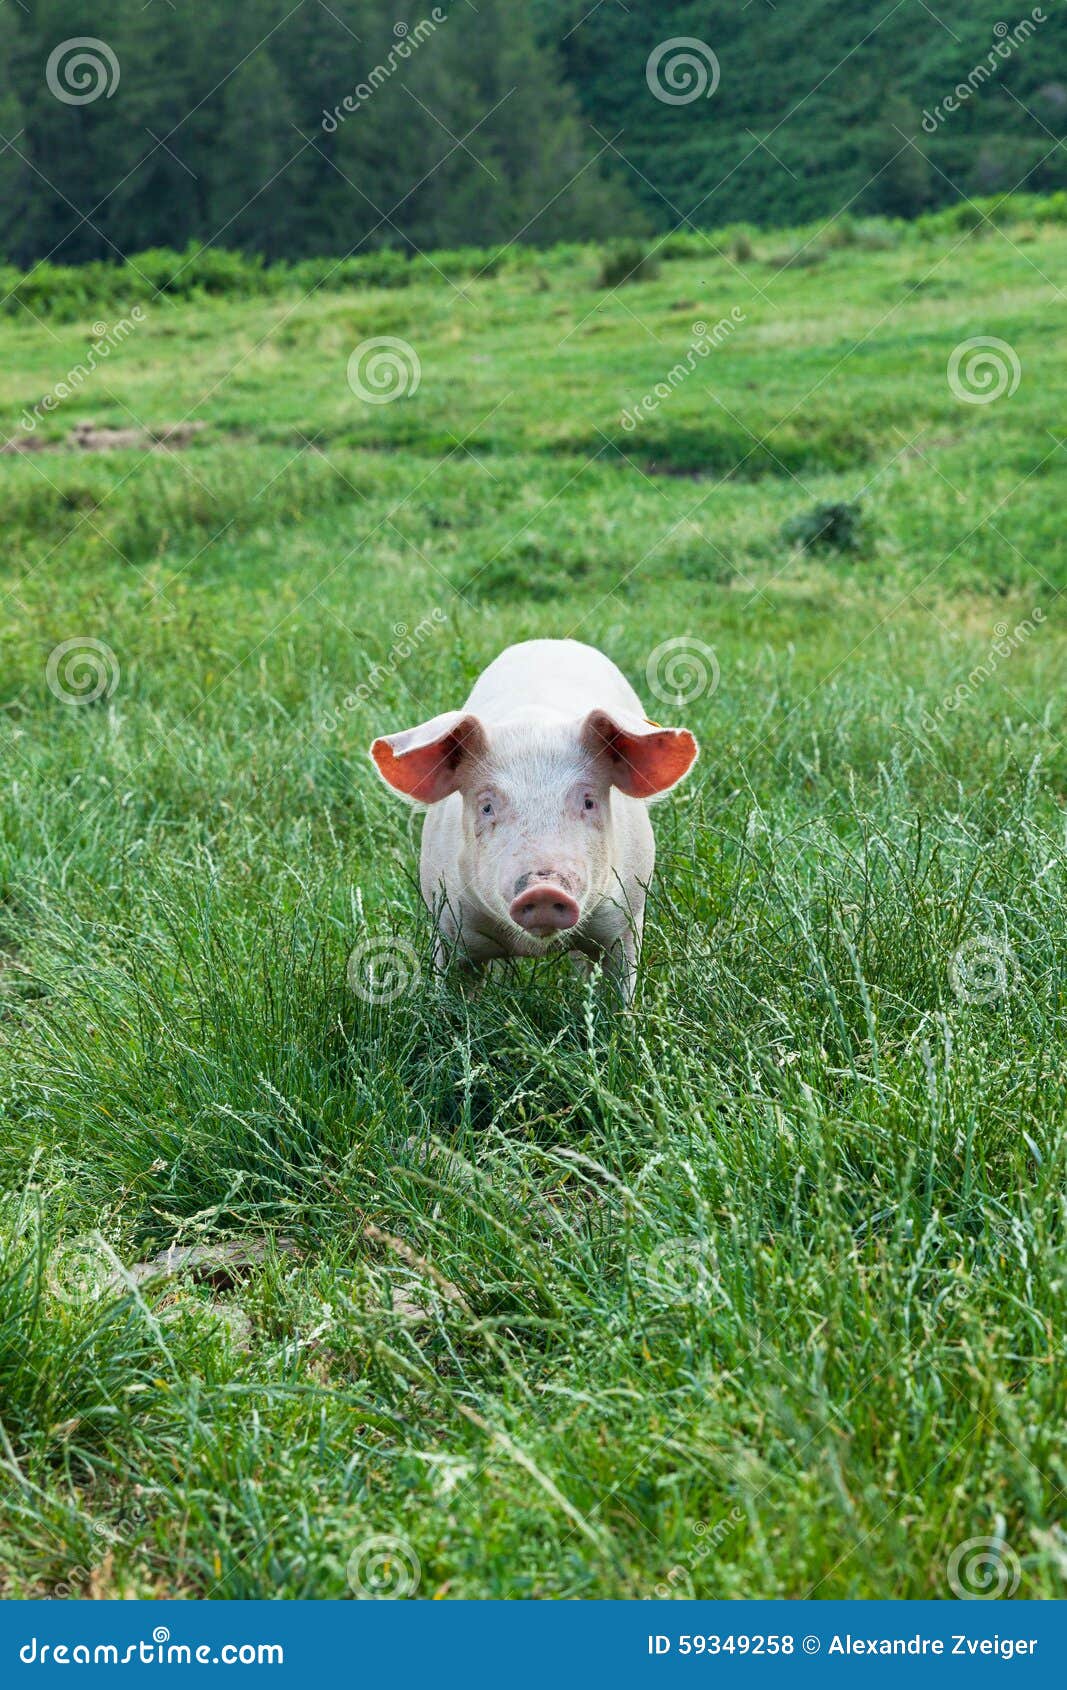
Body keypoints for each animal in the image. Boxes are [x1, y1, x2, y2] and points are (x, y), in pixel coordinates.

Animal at [369, 639, 699, 1001]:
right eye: (487, 807)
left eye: (588, 802)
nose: (543, 889)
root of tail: (552, 641)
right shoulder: (447, 923)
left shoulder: (626, 916)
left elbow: (619, 986)